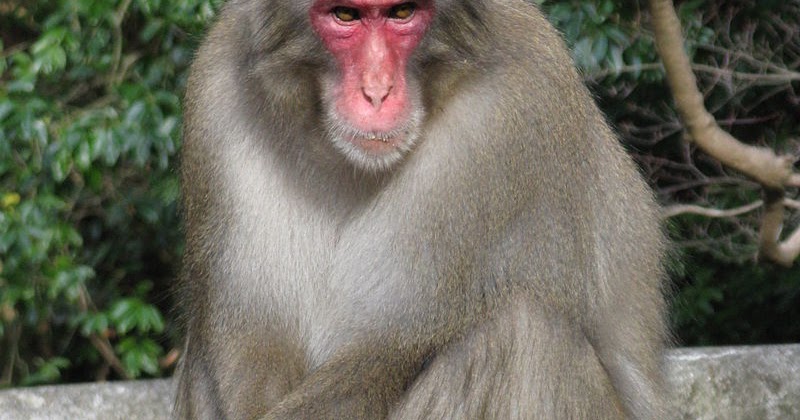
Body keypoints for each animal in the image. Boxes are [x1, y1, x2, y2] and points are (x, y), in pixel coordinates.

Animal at [174, 0, 668, 419]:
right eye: (345, 15)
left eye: (403, 13)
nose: (377, 92)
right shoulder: (217, 98)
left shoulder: (508, 118)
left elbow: (384, 353)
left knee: (523, 334)